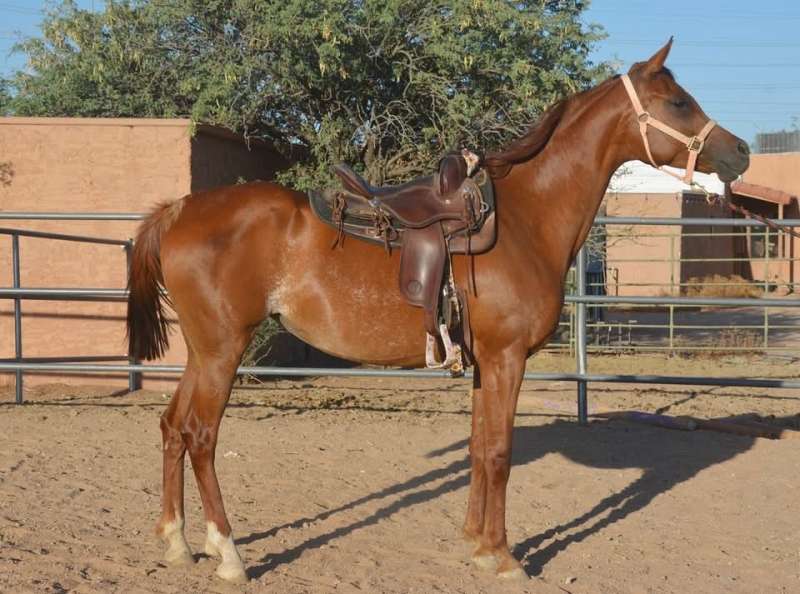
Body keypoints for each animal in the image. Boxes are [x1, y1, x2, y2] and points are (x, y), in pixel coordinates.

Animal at [126, 40, 749, 584]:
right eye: (679, 102)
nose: (740, 151)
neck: (525, 219)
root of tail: (180, 210)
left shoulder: (483, 364)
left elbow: (477, 447)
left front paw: (476, 544)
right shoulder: (507, 359)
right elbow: (498, 452)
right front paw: (504, 557)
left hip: (203, 350)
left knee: (173, 426)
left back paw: (179, 542)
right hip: (224, 349)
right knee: (201, 436)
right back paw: (229, 554)